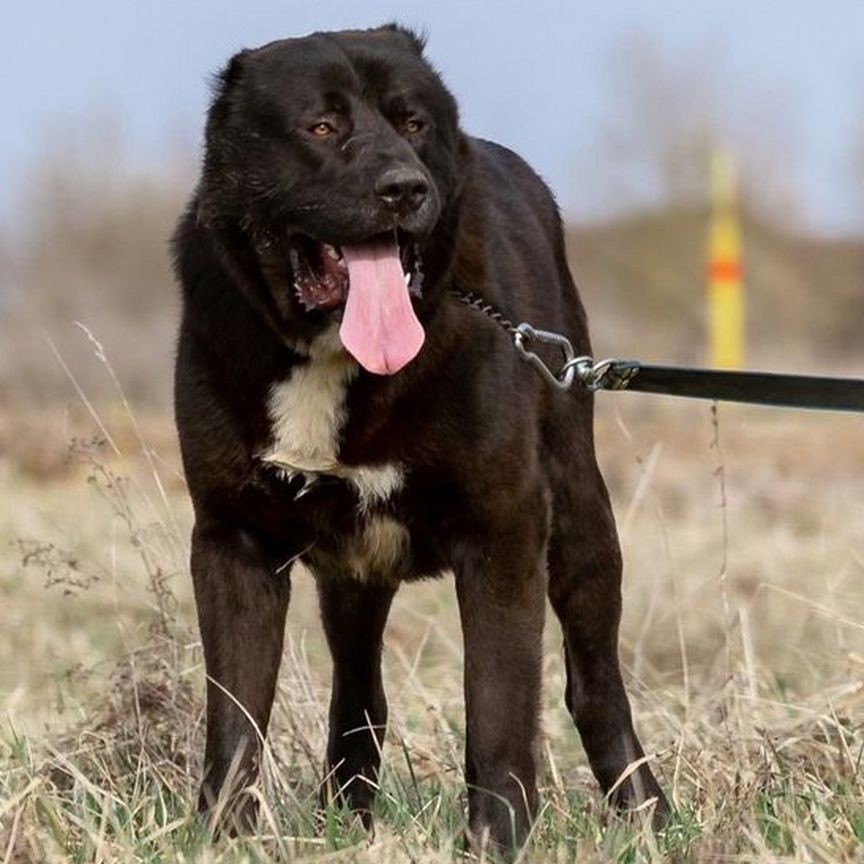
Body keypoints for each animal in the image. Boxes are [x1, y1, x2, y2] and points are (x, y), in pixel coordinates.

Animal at [170, 23, 668, 852]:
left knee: (596, 686)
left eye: (413, 124)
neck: (330, 355)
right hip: (352, 576)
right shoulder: (233, 540)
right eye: (321, 126)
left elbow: (498, 713)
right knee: (358, 696)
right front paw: (221, 839)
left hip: (581, 524)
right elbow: (234, 721)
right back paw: (345, 815)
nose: (405, 189)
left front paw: (497, 843)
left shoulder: (502, 532)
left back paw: (647, 816)